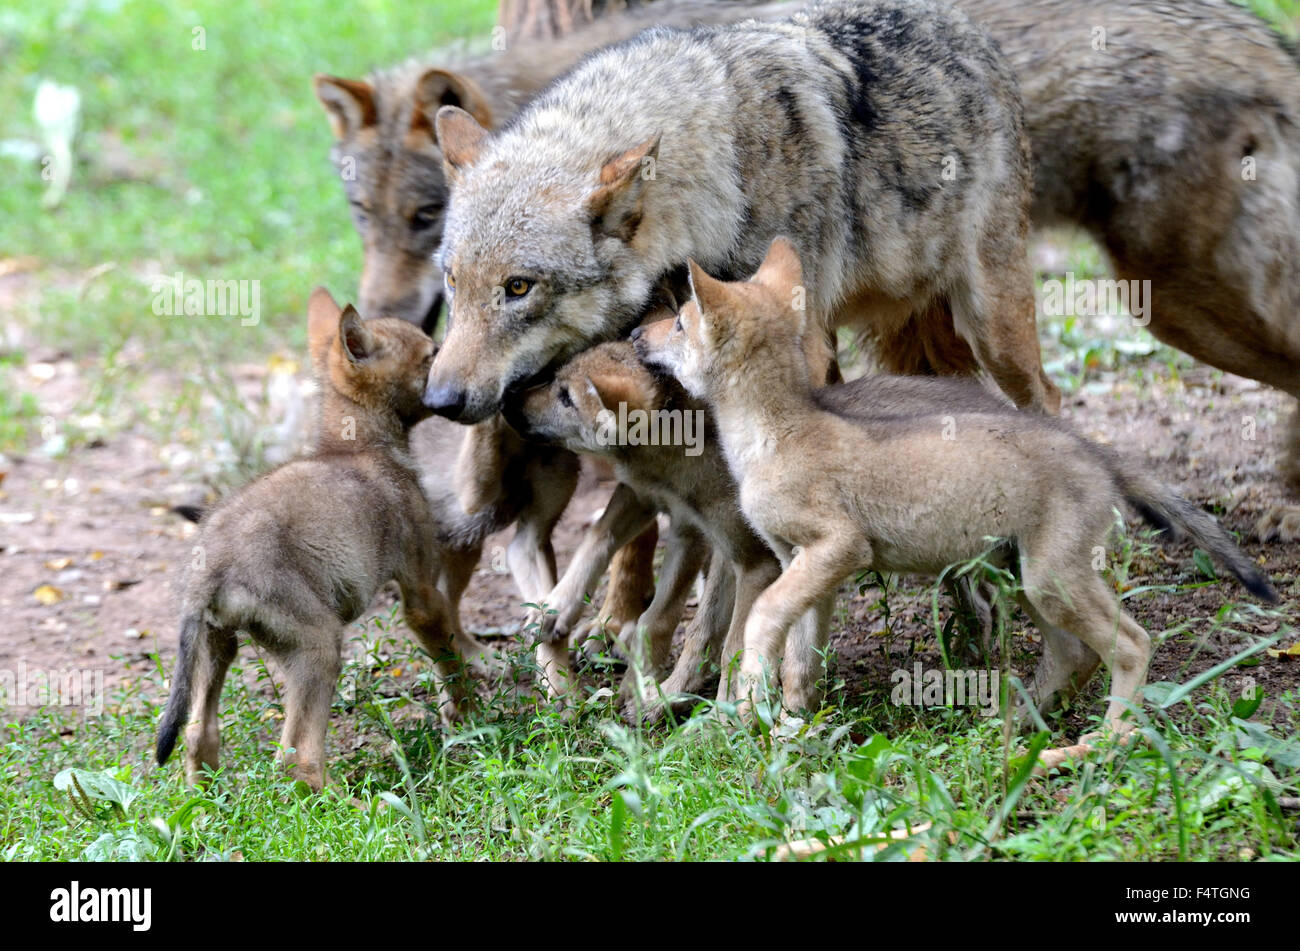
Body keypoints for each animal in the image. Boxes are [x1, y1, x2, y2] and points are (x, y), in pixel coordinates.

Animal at [156, 290, 492, 791]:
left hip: (219, 645)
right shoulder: (421, 594)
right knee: (297, 758)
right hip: (319, 645)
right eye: (431, 354)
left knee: (199, 736)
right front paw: (472, 720)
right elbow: (451, 665)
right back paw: (361, 801)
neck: (359, 445)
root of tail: (205, 573)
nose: (456, 386)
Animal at [426, 0, 1056, 425]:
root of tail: (961, 22)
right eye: (453, 281)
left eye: (519, 287)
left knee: (1046, 398)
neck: (726, 171)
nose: (439, 401)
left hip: (996, 332)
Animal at [636, 238, 1278, 746]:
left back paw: (1102, 743)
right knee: (1073, 655)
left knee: (1133, 643)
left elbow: (762, 620)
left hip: (1050, 581)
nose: (636, 333)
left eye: (679, 323)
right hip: (1026, 579)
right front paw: (794, 725)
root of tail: (1093, 449)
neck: (774, 435)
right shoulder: (805, 564)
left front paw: (748, 706)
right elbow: (802, 659)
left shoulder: (839, 548)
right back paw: (1016, 726)